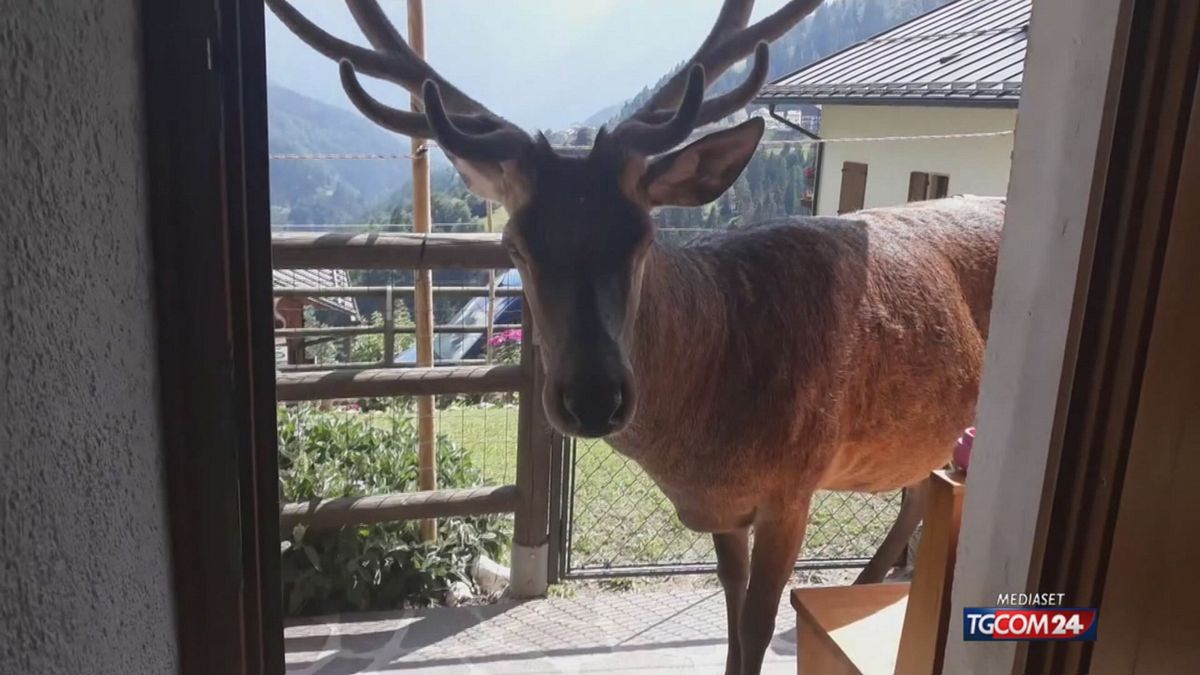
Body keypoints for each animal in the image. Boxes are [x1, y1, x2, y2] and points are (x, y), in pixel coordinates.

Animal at [266, 1, 1004, 672]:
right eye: (516, 245)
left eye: (643, 234)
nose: (594, 396)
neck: (704, 447)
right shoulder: (725, 510)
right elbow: (733, 616)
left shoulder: (794, 484)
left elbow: (756, 625)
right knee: (919, 493)